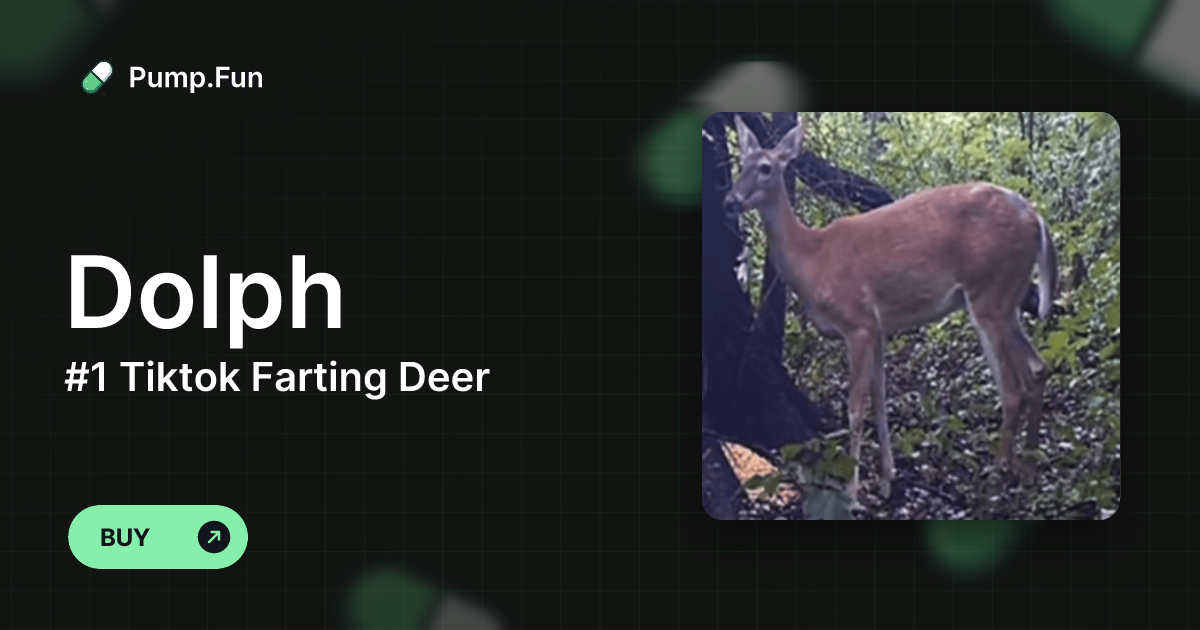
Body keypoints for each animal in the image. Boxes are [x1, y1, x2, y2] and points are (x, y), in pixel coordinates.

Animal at [722, 115, 1057, 499]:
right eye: (741, 165)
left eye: (765, 168)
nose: (729, 201)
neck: (813, 258)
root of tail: (1036, 219)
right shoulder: (879, 328)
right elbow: (881, 399)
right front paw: (886, 479)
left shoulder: (857, 323)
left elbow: (855, 407)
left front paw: (852, 491)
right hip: (1009, 298)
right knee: (1037, 368)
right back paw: (1028, 470)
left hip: (990, 293)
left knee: (1012, 388)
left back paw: (997, 480)